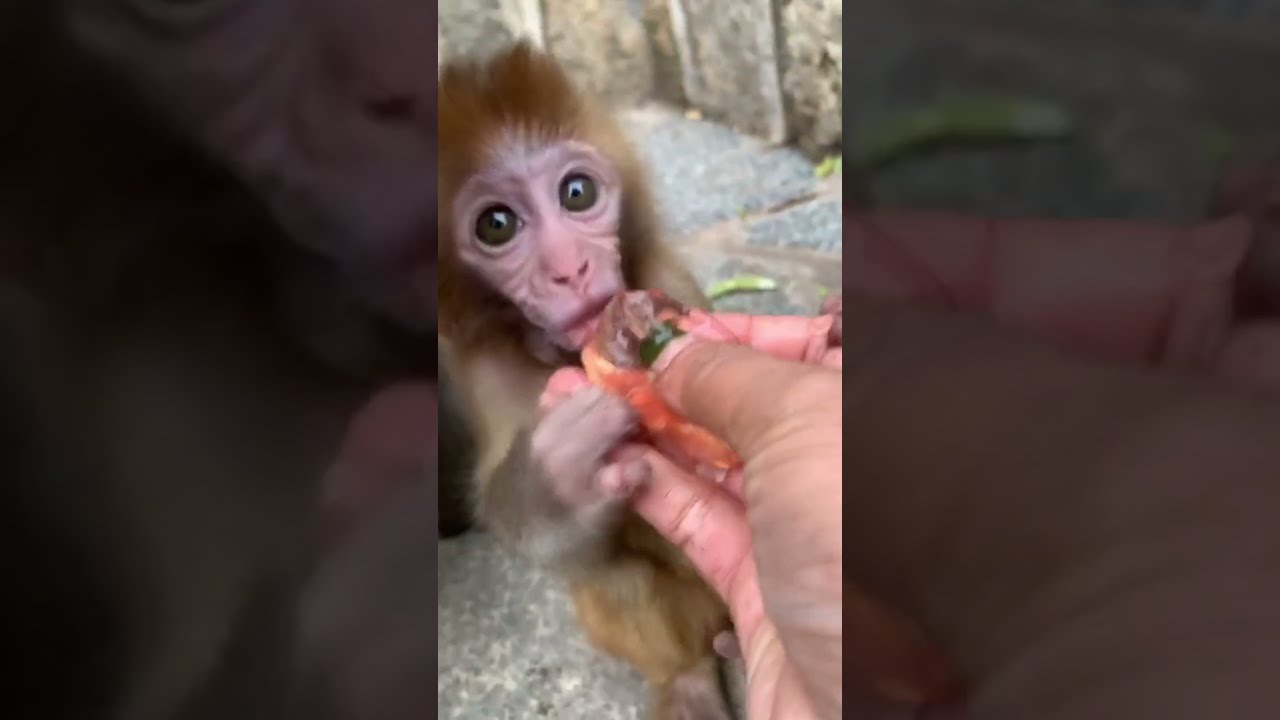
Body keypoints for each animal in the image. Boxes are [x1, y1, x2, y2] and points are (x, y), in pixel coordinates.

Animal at [438, 43, 736, 720]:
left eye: (577, 193)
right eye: (496, 225)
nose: (569, 269)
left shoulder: (665, 278)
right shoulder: (478, 364)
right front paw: (558, 485)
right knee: (611, 577)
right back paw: (689, 677)